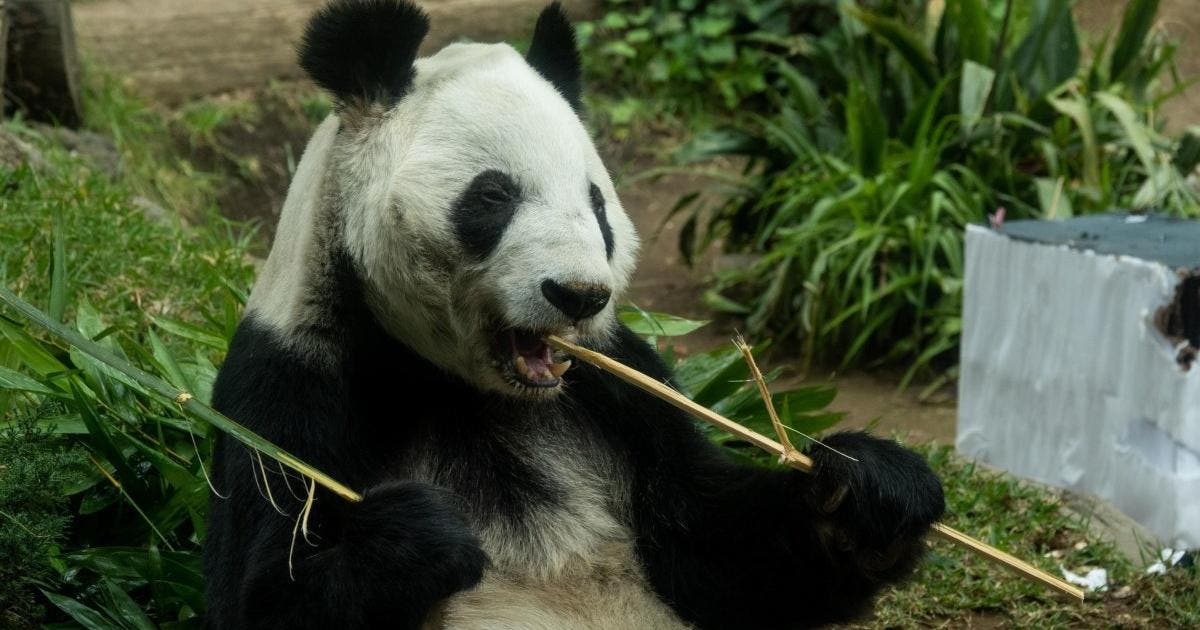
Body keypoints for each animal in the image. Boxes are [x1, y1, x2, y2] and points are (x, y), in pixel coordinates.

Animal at [203, 1, 945, 628]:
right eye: (492, 197)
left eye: (596, 203)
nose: (580, 294)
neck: (462, 389)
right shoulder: (291, 384)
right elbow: (258, 595)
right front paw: (416, 538)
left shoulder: (617, 385)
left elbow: (715, 550)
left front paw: (867, 491)